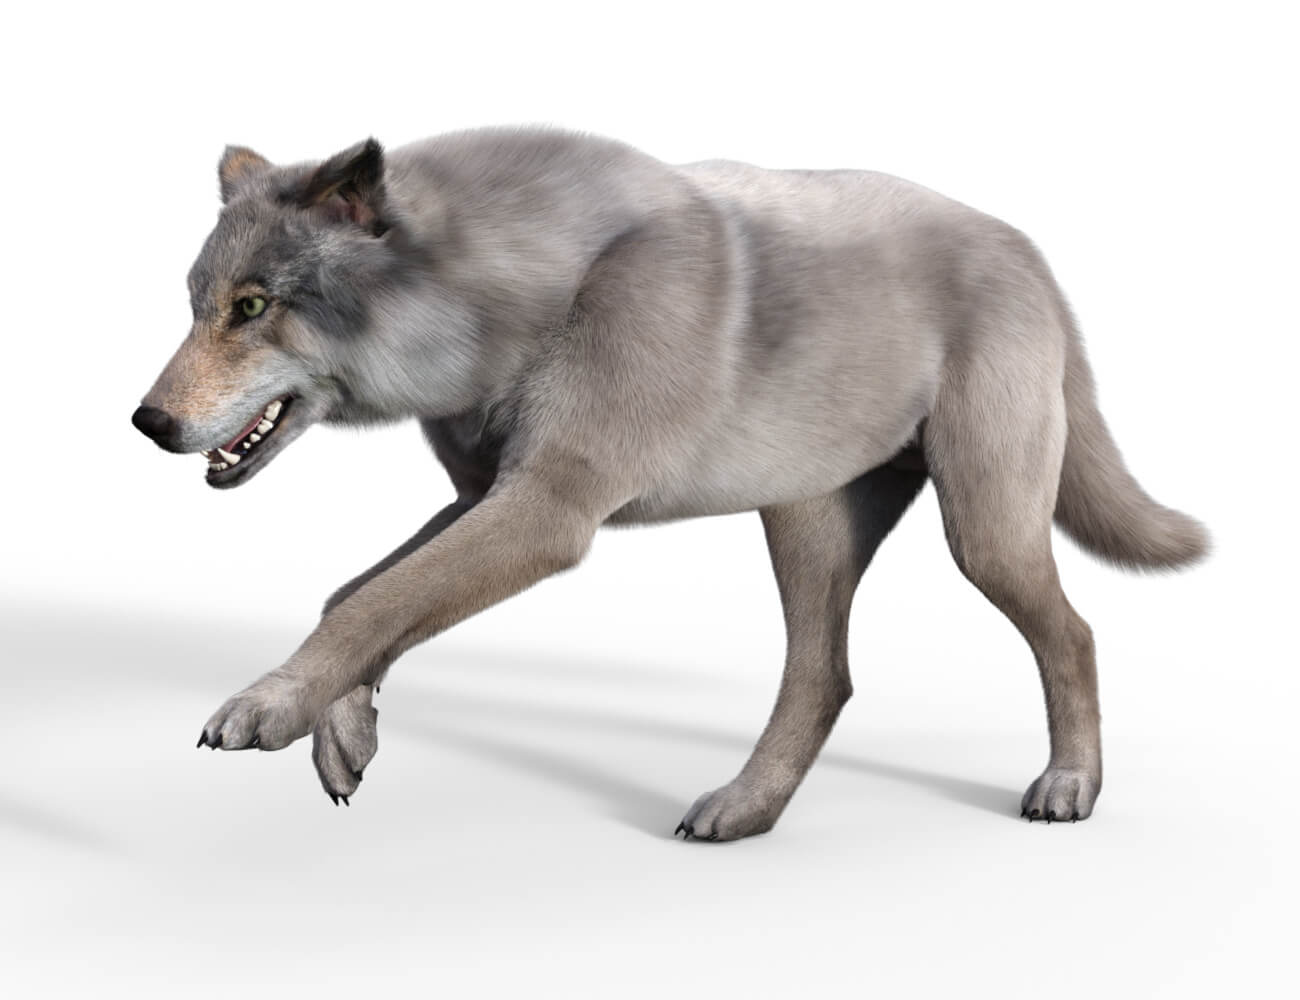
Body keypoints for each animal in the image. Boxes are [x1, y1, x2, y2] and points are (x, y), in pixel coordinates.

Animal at [132, 127, 1207, 839]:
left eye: (252, 307)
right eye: (195, 305)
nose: (147, 423)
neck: (527, 296)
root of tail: (1029, 252)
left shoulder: (549, 510)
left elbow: (377, 601)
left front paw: (271, 706)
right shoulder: (483, 495)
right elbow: (355, 593)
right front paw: (342, 729)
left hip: (982, 532)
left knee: (1072, 632)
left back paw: (1068, 786)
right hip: (804, 524)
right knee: (824, 674)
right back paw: (744, 810)